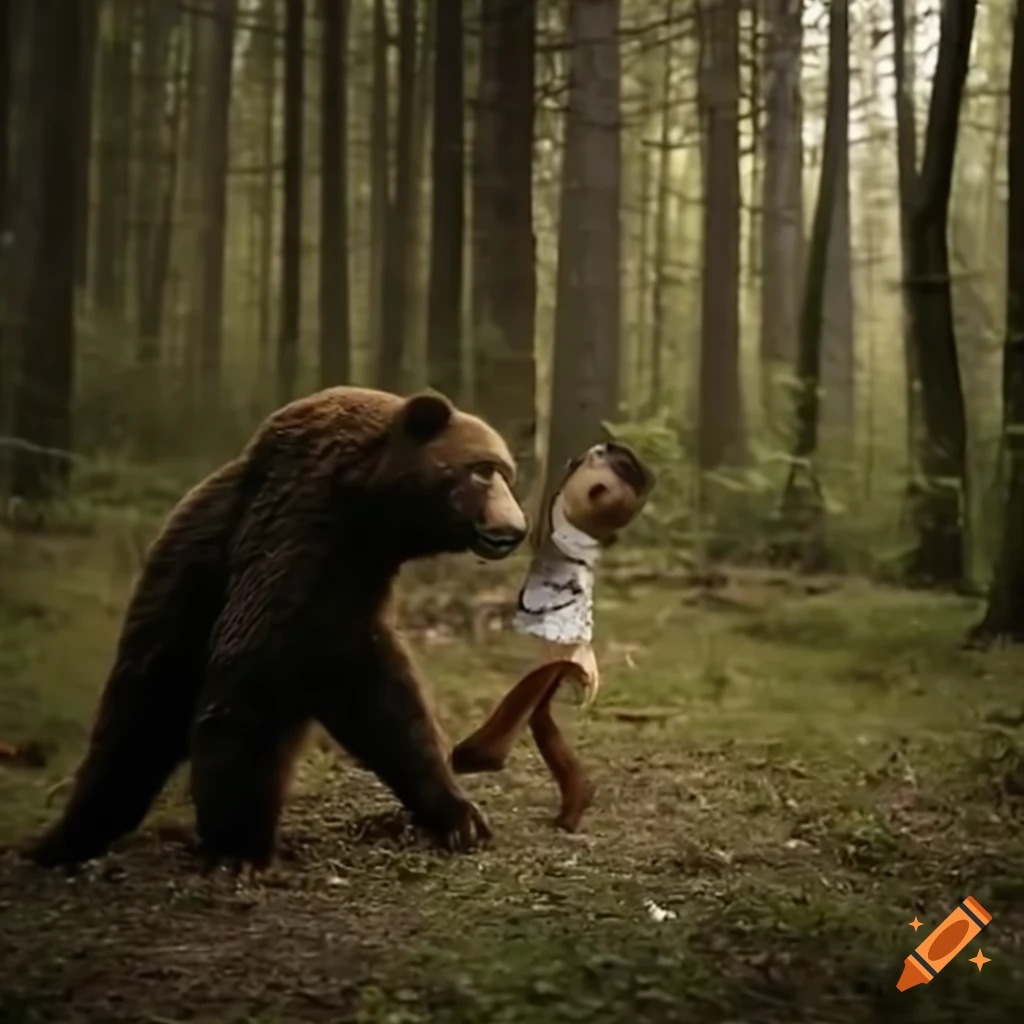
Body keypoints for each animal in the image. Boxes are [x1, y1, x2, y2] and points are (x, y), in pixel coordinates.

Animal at [25, 386, 529, 871]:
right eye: (482, 469)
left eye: (507, 472)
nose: (515, 528)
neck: (369, 511)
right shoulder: (296, 532)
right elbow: (253, 669)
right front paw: (239, 845)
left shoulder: (353, 589)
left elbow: (385, 702)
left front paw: (460, 817)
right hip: (181, 590)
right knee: (139, 711)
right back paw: (68, 838)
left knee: (138, 715)